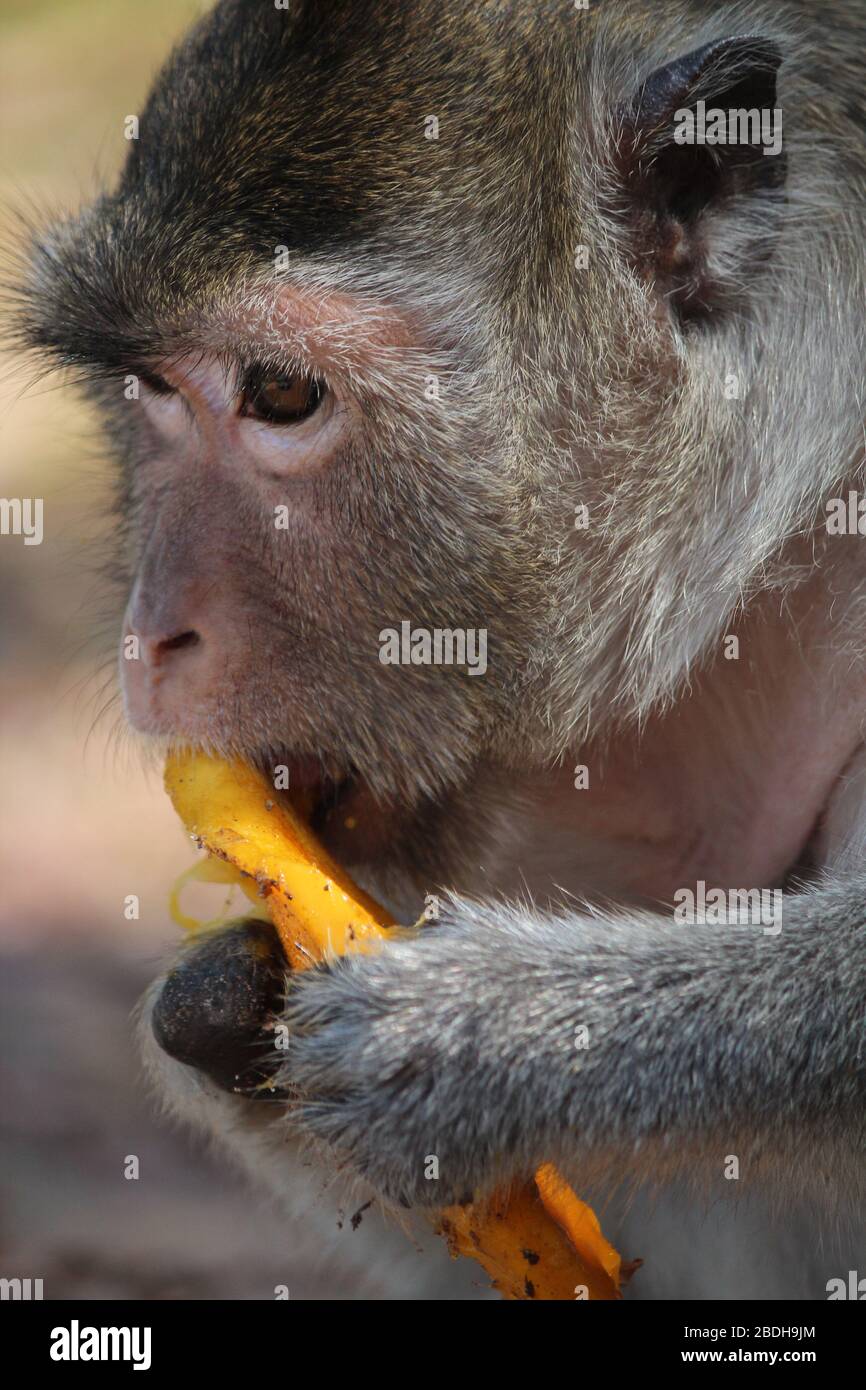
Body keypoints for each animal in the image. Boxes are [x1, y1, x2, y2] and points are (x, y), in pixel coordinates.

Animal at [10, 0, 866, 1300]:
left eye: (279, 392)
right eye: (148, 389)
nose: (150, 634)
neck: (786, 538)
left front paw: (482, 1035)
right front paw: (222, 1007)